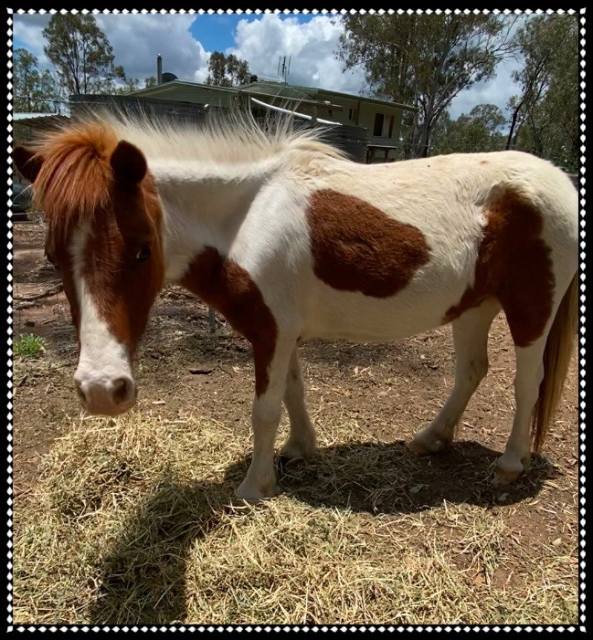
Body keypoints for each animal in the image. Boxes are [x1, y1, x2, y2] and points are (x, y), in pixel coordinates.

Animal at [13, 113, 578, 502]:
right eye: (53, 256)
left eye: (140, 250)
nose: (101, 390)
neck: (246, 217)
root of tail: (559, 181)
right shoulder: (282, 332)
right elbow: (293, 392)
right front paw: (299, 449)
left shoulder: (271, 332)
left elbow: (264, 409)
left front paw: (254, 487)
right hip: (474, 306)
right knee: (471, 371)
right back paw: (431, 438)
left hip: (531, 310)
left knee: (526, 383)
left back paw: (509, 464)